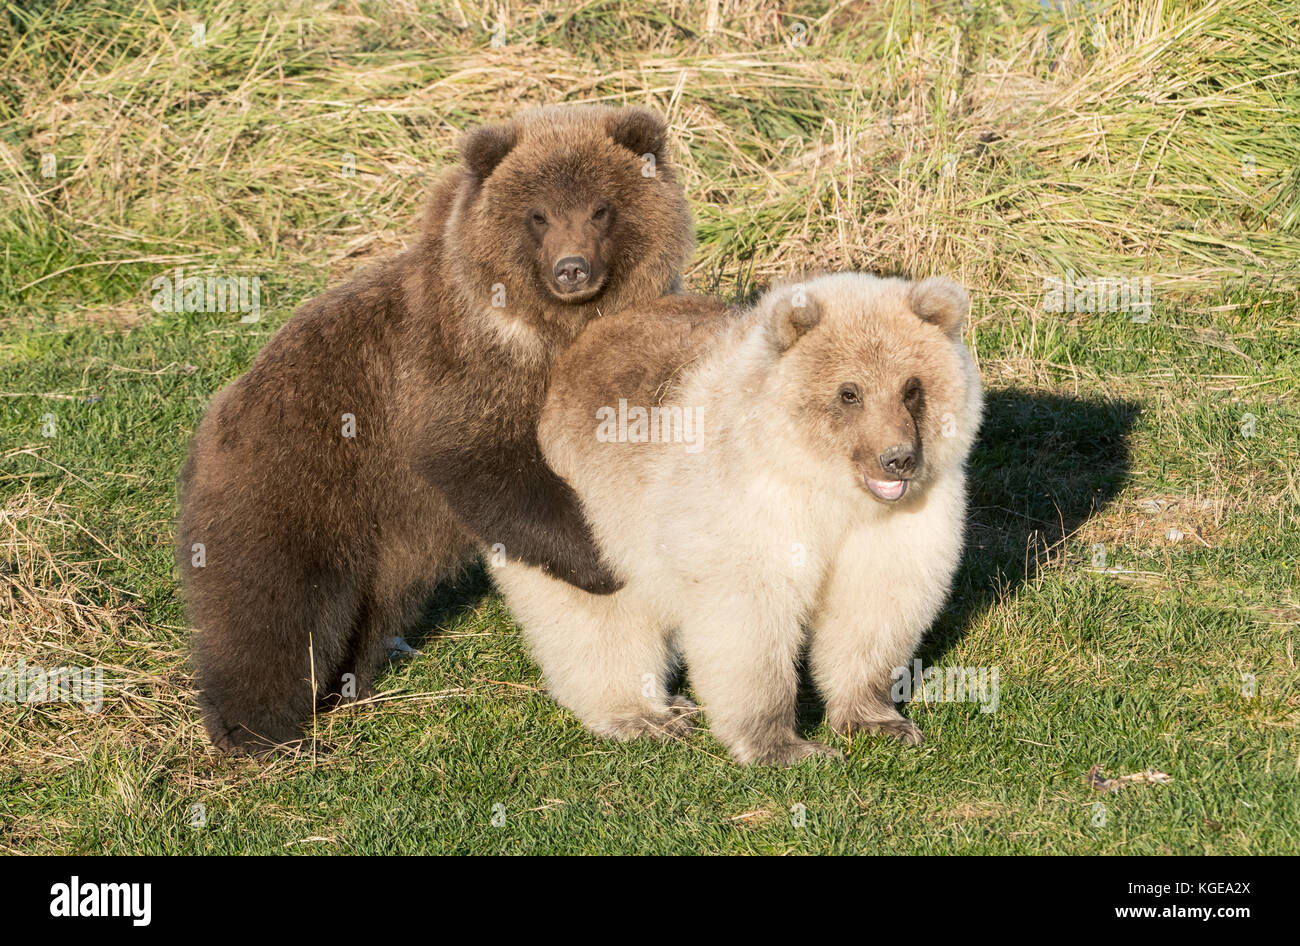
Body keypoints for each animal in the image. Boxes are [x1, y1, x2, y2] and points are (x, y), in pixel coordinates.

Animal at [178, 104, 695, 754]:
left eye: (601, 208)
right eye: (538, 214)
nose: (571, 269)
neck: (554, 328)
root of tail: (217, 416)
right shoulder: (463, 373)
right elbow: (483, 464)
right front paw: (601, 567)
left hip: (384, 540)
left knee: (368, 611)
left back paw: (347, 681)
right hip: (297, 477)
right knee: (272, 605)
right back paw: (255, 725)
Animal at [492, 273, 984, 764]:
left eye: (912, 388)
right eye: (850, 392)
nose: (897, 459)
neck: (830, 492)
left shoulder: (898, 523)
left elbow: (875, 606)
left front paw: (879, 720)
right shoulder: (748, 505)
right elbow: (749, 621)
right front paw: (785, 744)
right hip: (579, 519)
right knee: (598, 619)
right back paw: (646, 715)